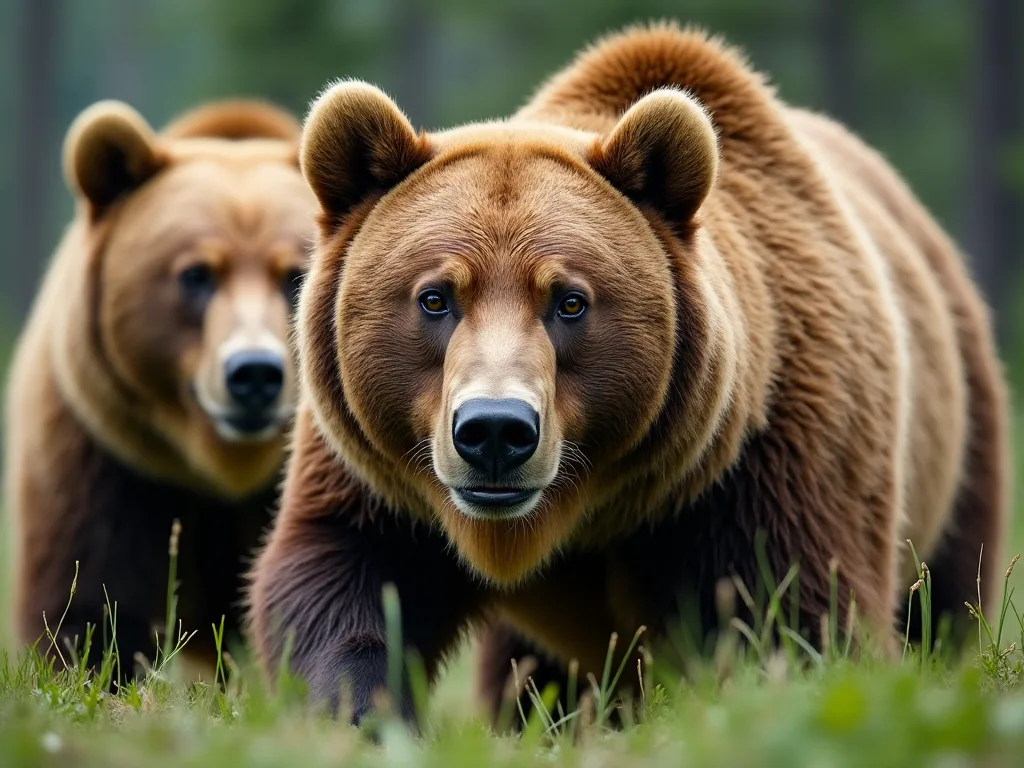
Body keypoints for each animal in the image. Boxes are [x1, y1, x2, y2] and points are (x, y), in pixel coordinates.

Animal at [5, 98, 316, 680]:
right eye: (197, 274)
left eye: (294, 275)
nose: (255, 373)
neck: (222, 471)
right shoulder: (108, 456)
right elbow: (93, 594)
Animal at [247, 23, 1009, 726]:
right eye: (436, 297)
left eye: (569, 300)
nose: (494, 430)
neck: (590, 514)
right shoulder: (380, 475)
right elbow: (340, 581)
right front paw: (357, 713)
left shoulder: (770, 459)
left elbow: (795, 614)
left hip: (962, 439)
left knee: (944, 598)